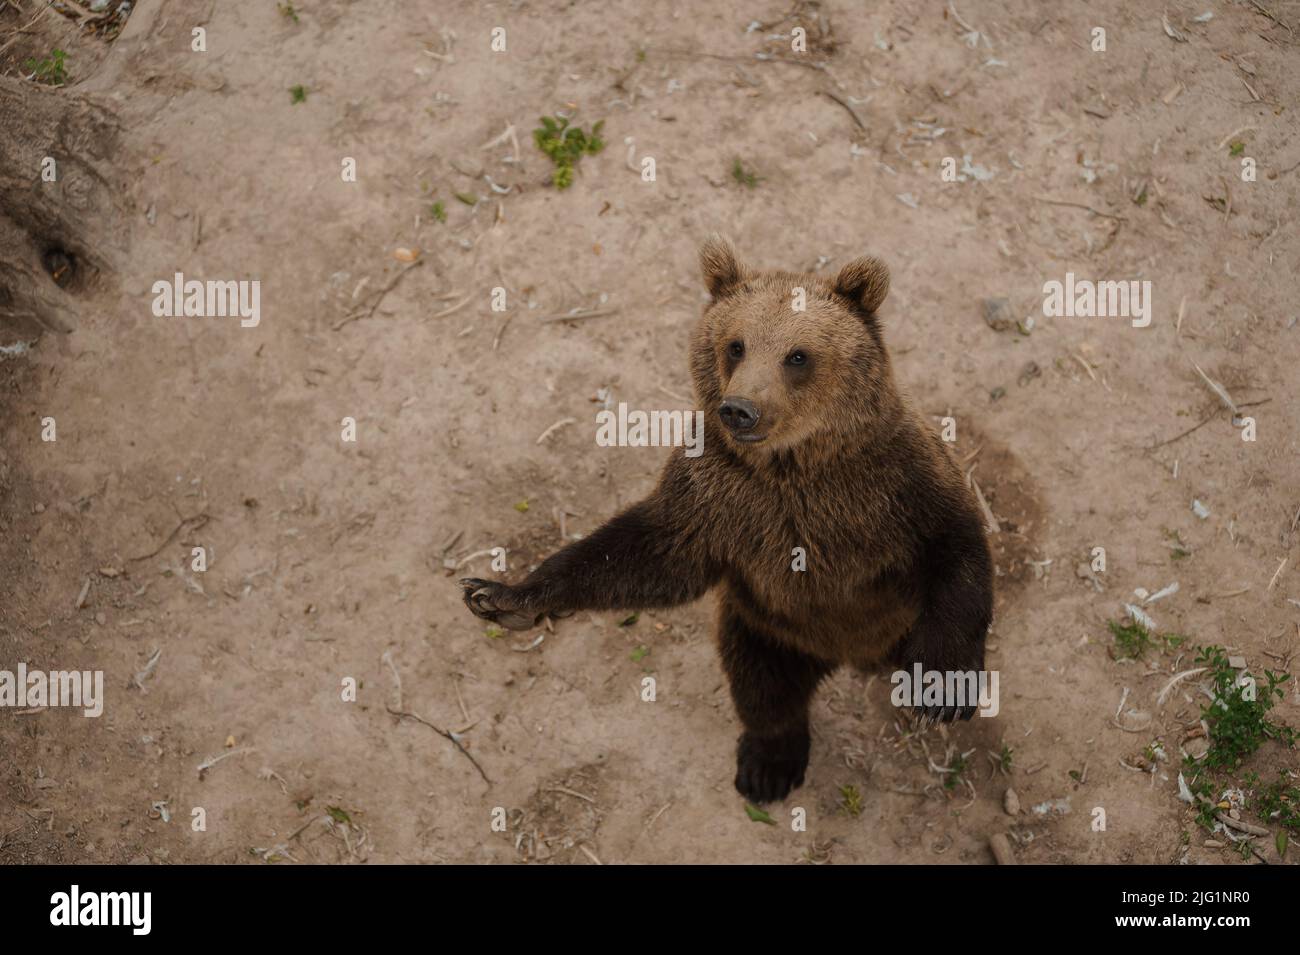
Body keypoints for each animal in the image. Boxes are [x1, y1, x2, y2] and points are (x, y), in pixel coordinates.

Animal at [461, 236, 993, 804]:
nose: (740, 409)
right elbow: (644, 553)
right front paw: (499, 594)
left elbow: (954, 547)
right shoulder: (715, 497)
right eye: (736, 345)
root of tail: (851, 655)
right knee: (763, 687)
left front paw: (941, 689)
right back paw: (768, 766)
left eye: (797, 355)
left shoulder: (896, 484)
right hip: (767, 626)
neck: (792, 467)